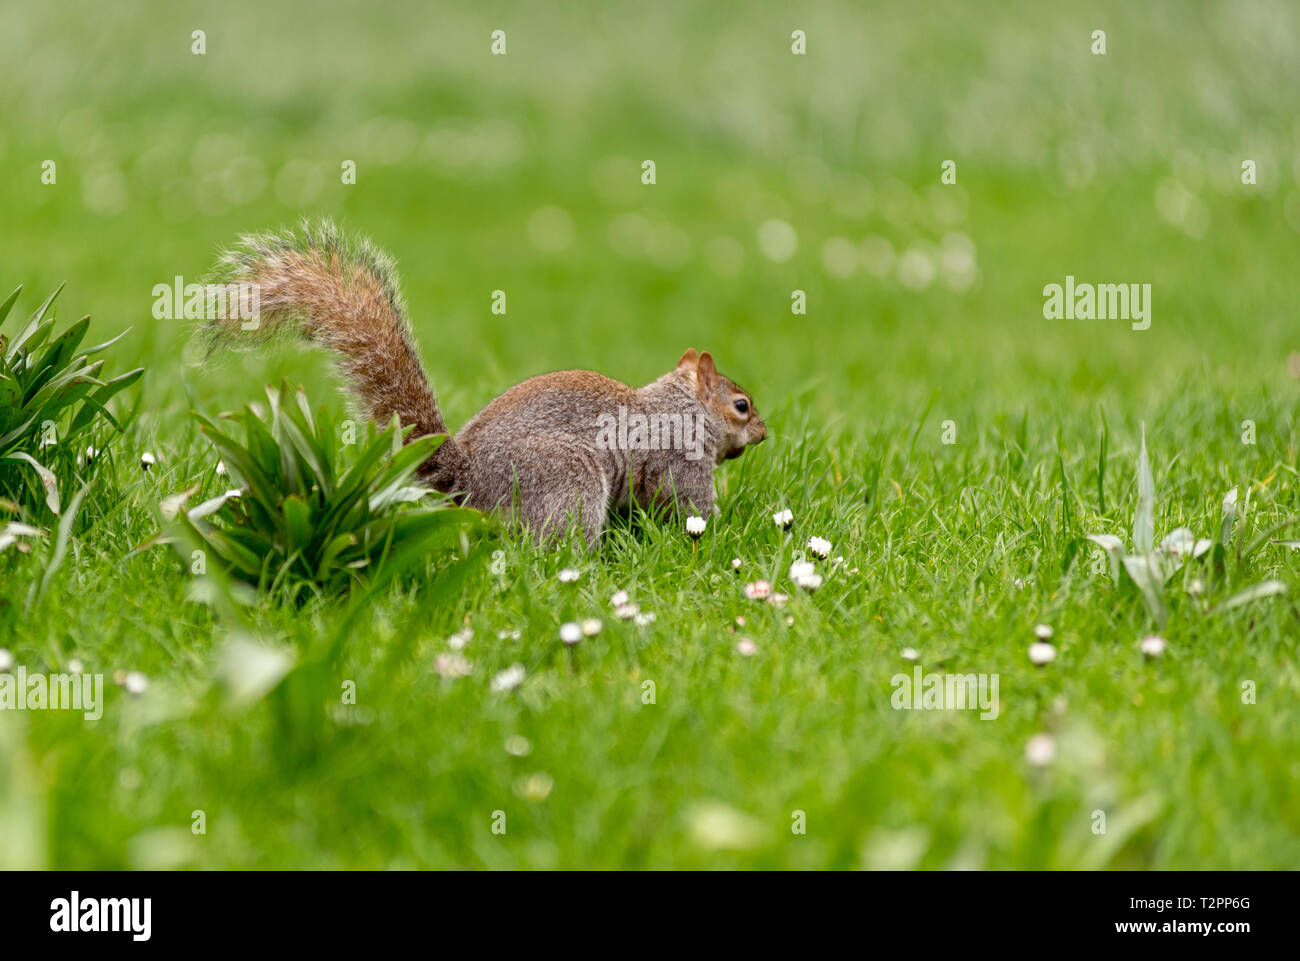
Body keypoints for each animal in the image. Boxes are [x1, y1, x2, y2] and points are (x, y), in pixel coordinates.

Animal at [206, 220, 767, 545]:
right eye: (741, 405)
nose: (764, 433)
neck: (680, 404)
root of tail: (469, 480)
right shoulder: (680, 458)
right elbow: (690, 506)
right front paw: (726, 531)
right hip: (567, 478)